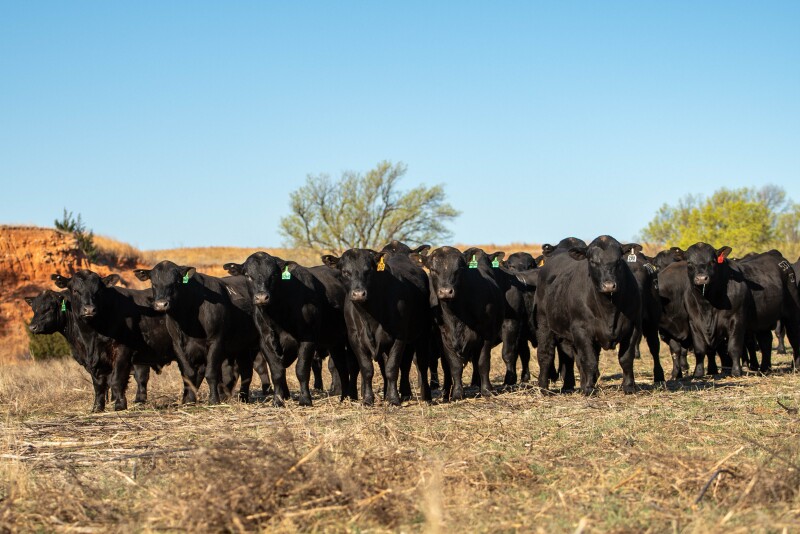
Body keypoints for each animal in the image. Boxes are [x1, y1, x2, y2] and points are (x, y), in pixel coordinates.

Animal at [133, 262, 261, 405]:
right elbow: (188, 374)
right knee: (245, 370)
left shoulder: (215, 341)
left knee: (247, 372)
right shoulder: (178, 345)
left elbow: (211, 373)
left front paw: (213, 400)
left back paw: (243, 398)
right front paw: (189, 400)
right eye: (153, 283)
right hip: (242, 347)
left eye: (176, 282)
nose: (161, 304)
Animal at [223, 252, 356, 407]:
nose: (262, 297)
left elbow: (301, 370)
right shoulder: (265, 342)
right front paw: (278, 400)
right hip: (335, 341)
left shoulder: (308, 338)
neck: (278, 317)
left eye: (274, 275)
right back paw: (343, 395)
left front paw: (305, 400)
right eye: (247, 275)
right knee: (340, 366)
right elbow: (277, 372)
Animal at [323, 248, 432, 406]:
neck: (370, 316)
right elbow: (367, 369)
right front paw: (368, 399)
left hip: (423, 334)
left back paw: (424, 396)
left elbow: (392, 368)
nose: (358, 294)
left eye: (368, 270)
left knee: (420, 364)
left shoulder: (399, 337)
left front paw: (393, 399)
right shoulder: (355, 339)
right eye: (345, 272)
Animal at [410, 247, 503, 401]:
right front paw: (457, 393)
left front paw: (487, 390)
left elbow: (483, 362)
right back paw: (445, 392)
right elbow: (454, 366)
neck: (456, 316)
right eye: (433, 269)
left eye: (459, 269)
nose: (446, 292)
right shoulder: (444, 338)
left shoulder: (486, 334)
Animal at [535, 236, 642, 395]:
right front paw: (589, 389)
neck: (609, 308)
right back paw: (543, 388)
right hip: (544, 323)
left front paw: (629, 386)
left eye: (618, 260)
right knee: (545, 354)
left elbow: (626, 359)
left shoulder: (633, 327)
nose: (609, 285)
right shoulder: (581, 330)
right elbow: (589, 360)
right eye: (592, 261)